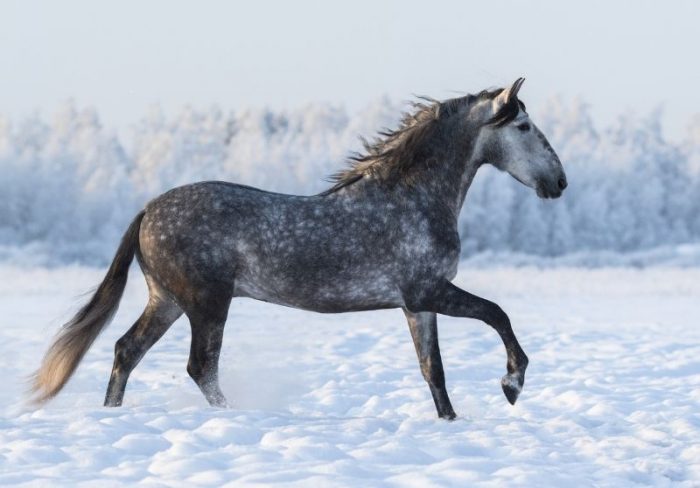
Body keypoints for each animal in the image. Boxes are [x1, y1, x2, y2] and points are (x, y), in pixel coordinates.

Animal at [31, 78, 566, 419]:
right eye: (523, 127)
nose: (558, 182)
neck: (412, 197)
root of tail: (147, 210)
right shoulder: (428, 290)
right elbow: (497, 314)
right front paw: (512, 385)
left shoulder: (417, 304)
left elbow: (433, 370)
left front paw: (452, 421)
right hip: (207, 303)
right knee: (200, 366)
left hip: (167, 301)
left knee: (127, 351)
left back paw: (112, 414)